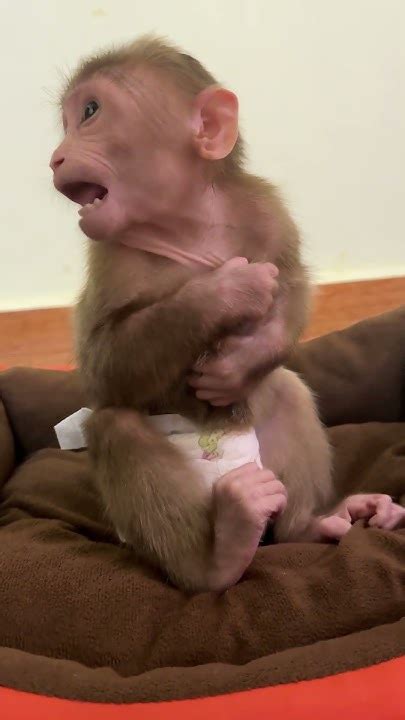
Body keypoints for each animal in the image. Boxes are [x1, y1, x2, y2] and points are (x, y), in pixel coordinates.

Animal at [50, 35, 405, 592]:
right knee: (114, 427)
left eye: (89, 112)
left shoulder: (264, 208)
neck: (185, 226)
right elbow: (105, 368)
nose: (56, 156)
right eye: (68, 120)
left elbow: (291, 283)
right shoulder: (112, 260)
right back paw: (221, 554)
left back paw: (312, 523)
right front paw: (225, 291)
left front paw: (239, 362)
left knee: (285, 388)